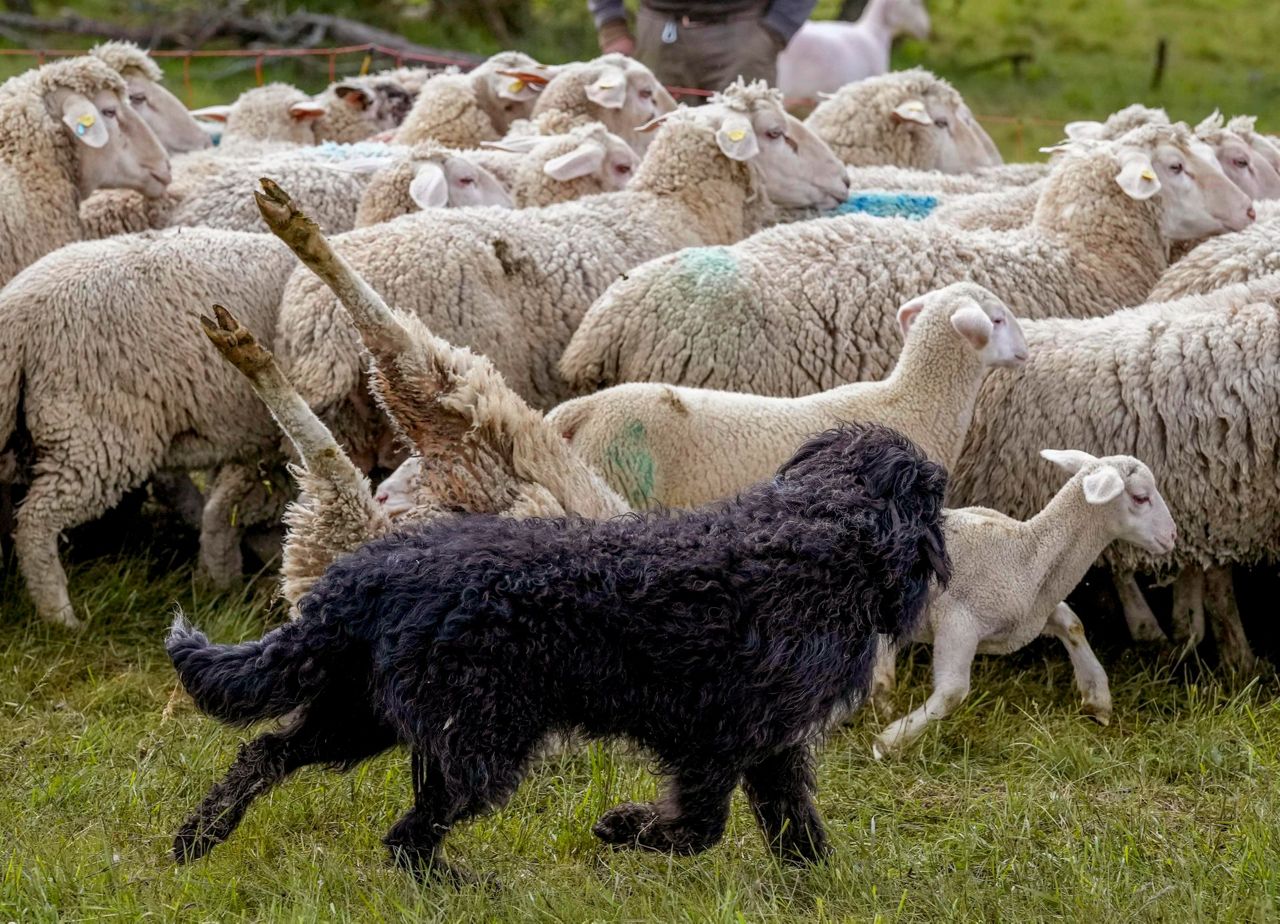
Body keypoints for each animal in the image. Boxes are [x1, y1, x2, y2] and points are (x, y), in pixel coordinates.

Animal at [870, 450, 1177, 758]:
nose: (1173, 536)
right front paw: (889, 741)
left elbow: (1072, 624)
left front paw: (1097, 697)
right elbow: (951, 692)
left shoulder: (1033, 611)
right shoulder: (957, 619)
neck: (1029, 552)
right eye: (1140, 497)